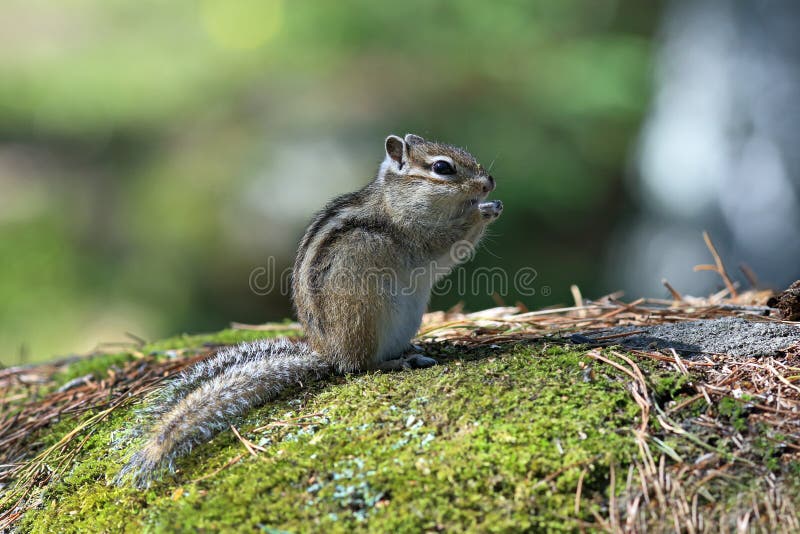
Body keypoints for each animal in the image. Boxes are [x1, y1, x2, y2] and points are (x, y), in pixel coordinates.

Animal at [116, 133, 502, 487]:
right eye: (442, 168)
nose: (489, 183)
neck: (396, 197)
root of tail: (327, 353)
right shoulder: (417, 231)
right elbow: (447, 239)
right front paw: (482, 210)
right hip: (366, 317)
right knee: (359, 366)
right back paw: (395, 362)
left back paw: (414, 349)